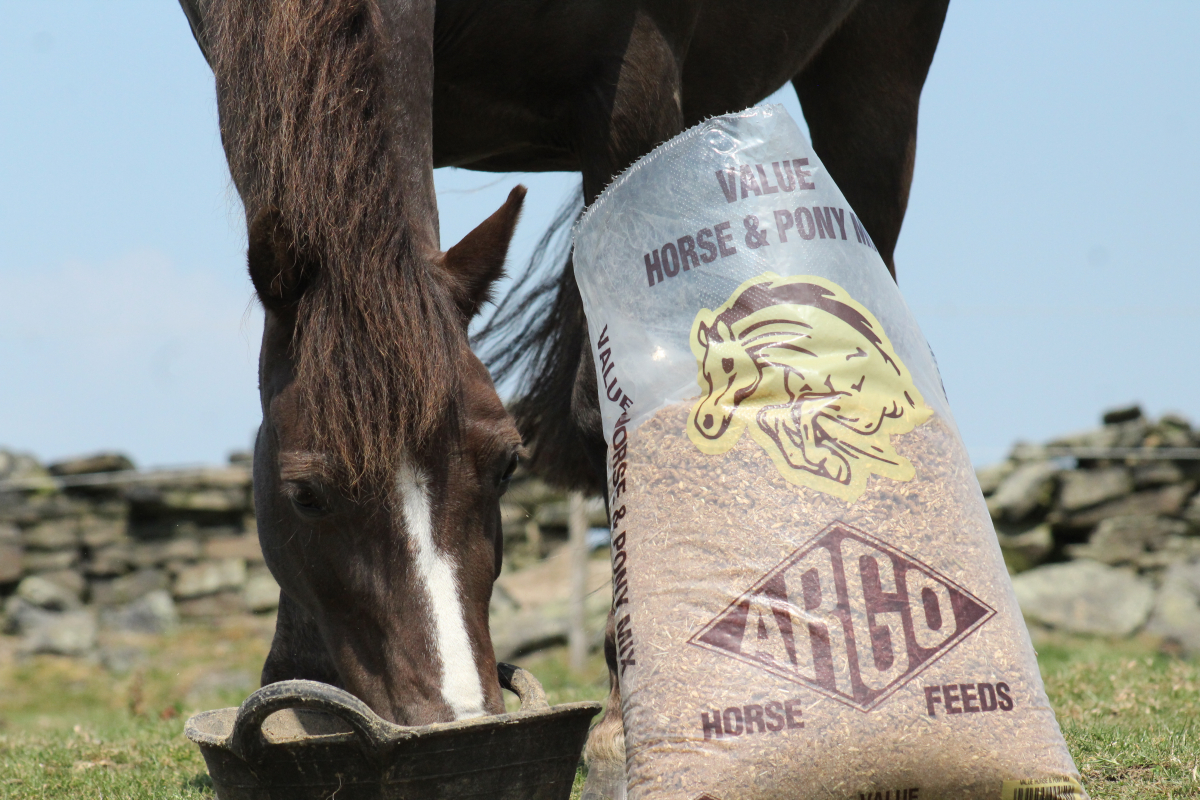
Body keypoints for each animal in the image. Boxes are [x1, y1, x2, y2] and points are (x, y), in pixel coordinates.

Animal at [178, 0, 949, 795]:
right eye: (303, 494)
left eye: (506, 466)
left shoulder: (635, 92)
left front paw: (619, 736)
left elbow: (602, 419)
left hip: (874, 74)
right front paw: (293, 691)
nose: (456, 716)